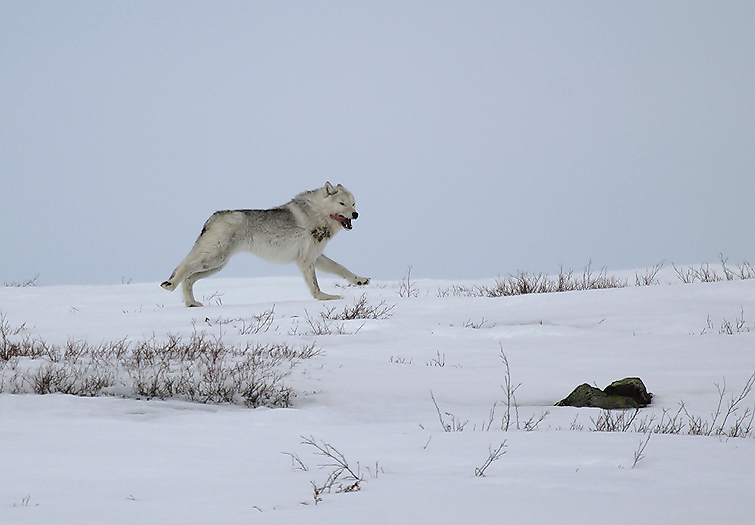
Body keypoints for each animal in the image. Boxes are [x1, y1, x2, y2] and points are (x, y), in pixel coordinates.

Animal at [160, 182, 369, 307]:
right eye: (342, 204)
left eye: (354, 204)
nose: (356, 214)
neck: (317, 214)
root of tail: (214, 216)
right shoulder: (305, 260)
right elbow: (315, 287)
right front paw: (326, 298)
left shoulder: (315, 258)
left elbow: (341, 268)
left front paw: (360, 280)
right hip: (213, 259)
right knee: (184, 268)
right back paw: (170, 284)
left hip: (216, 266)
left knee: (188, 279)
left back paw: (191, 303)